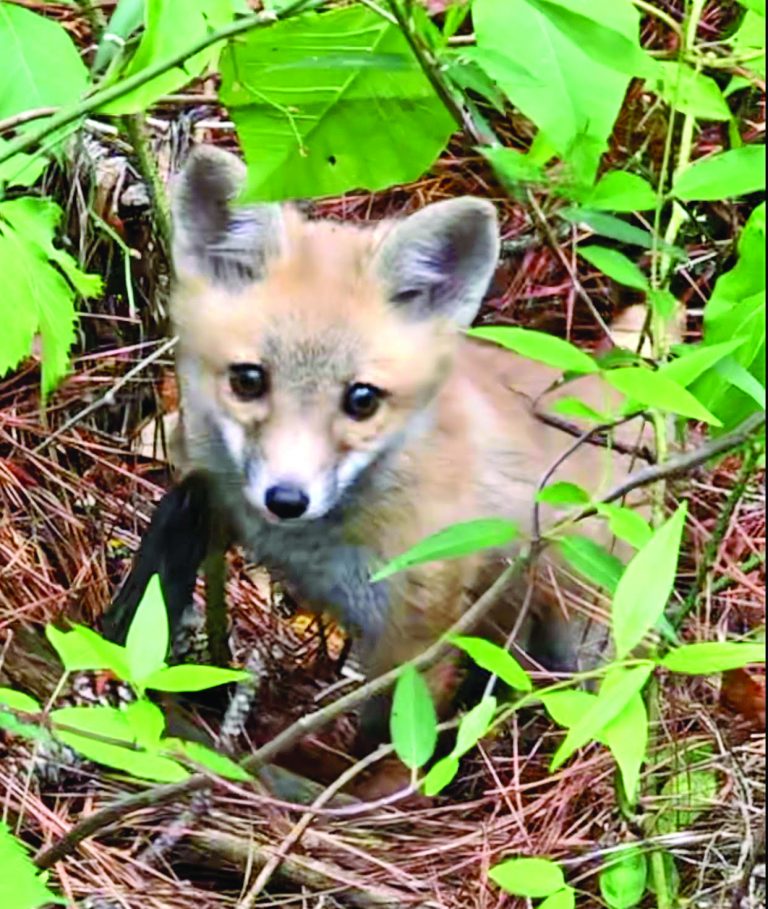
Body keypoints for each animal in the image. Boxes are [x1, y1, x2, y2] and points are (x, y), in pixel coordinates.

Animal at [110, 145, 648, 748]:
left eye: (362, 399)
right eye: (248, 380)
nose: (286, 499)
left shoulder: (417, 632)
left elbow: (386, 738)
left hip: (587, 640)